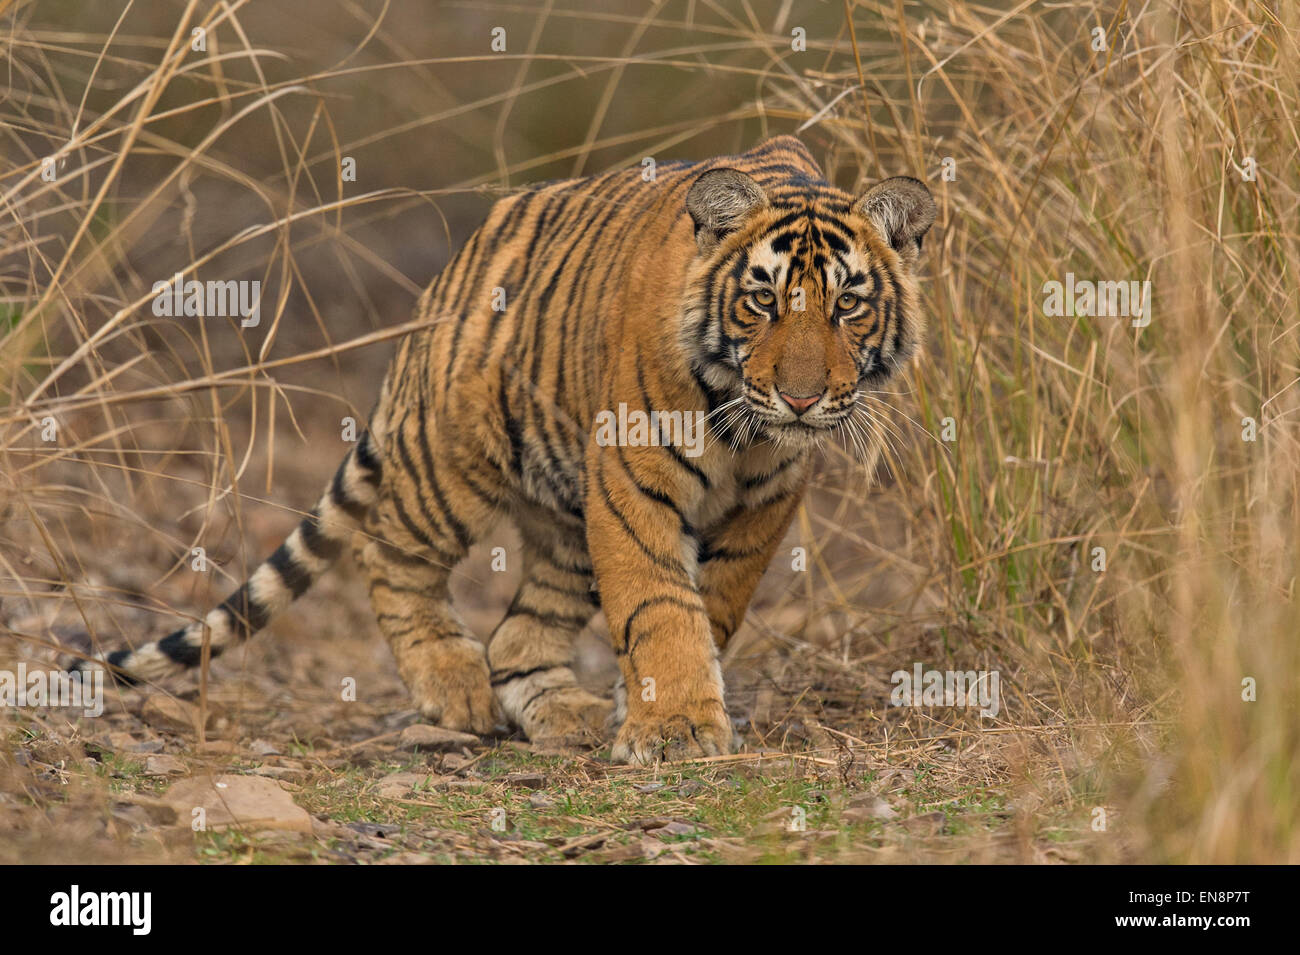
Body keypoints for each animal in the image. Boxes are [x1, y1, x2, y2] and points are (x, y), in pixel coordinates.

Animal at [75, 136, 936, 764]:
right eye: (762, 301)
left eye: (848, 306)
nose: (801, 398)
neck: (746, 431)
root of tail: (451, 275)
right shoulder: (633, 481)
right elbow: (659, 602)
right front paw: (675, 730)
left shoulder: (768, 498)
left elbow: (714, 602)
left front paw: (649, 707)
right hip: (454, 460)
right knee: (388, 552)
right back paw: (453, 685)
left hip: (566, 511)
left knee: (518, 634)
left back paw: (566, 710)